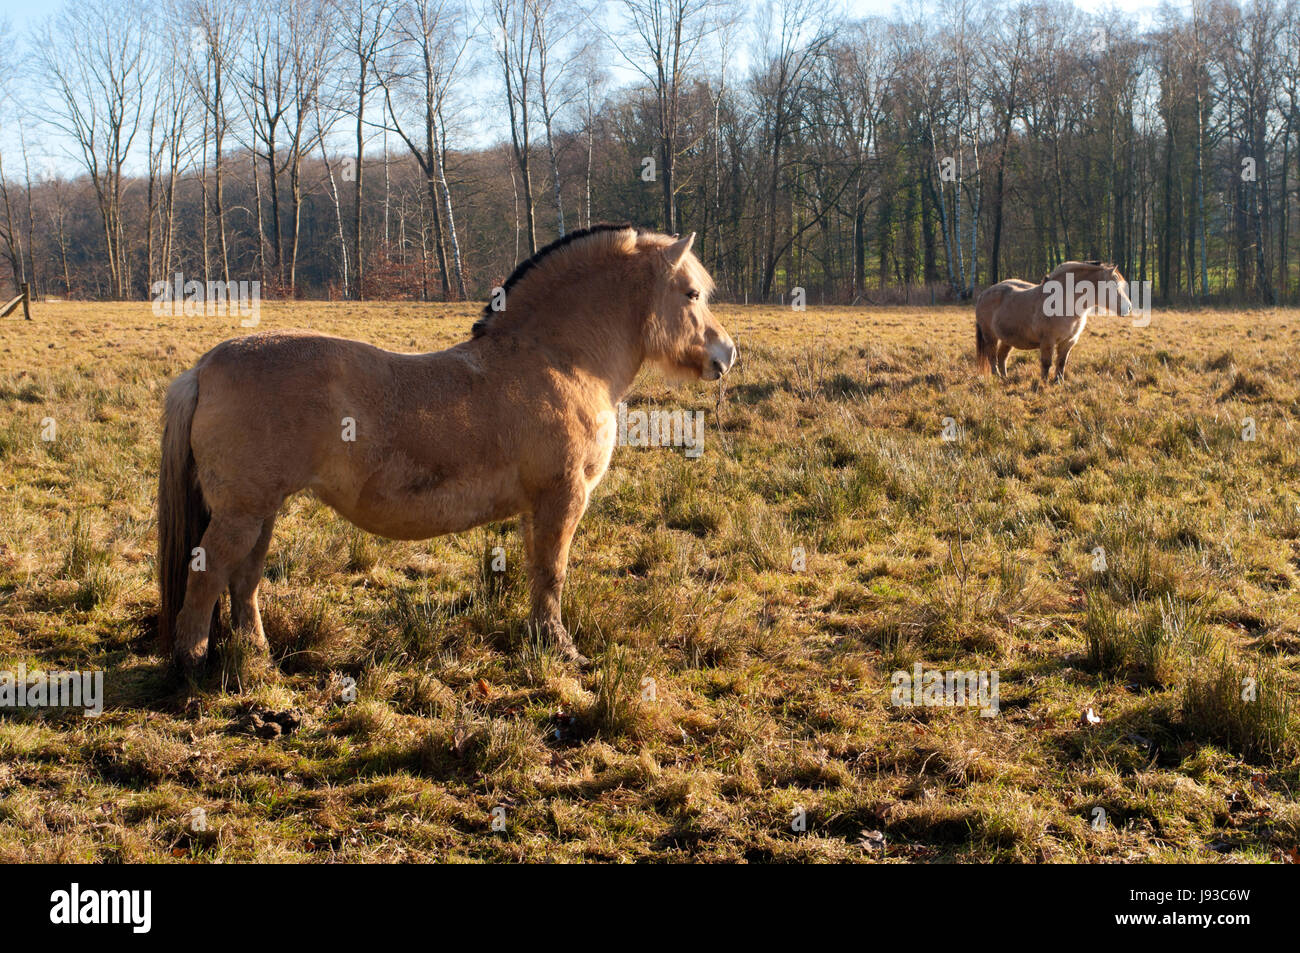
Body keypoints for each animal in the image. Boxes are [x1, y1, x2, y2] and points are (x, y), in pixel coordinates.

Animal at [157, 224, 737, 673]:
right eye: (691, 293)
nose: (726, 354)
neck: (558, 361)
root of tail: (205, 368)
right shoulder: (563, 497)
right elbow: (553, 573)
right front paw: (562, 650)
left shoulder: (537, 507)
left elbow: (537, 572)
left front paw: (539, 639)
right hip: (242, 512)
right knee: (209, 571)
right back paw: (190, 661)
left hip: (262, 510)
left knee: (245, 579)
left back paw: (255, 655)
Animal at [974, 261, 1132, 382]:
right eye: (1114, 286)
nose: (1129, 307)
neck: (1063, 302)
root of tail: (983, 294)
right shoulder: (1047, 341)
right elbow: (1047, 363)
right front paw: (1043, 383)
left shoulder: (1068, 342)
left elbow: (1061, 363)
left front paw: (1058, 382)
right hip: (990, 337)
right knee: (992, 356)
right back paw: (996, 376)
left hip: (1008, 338)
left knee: (1002, 357)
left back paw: (1004, 377)